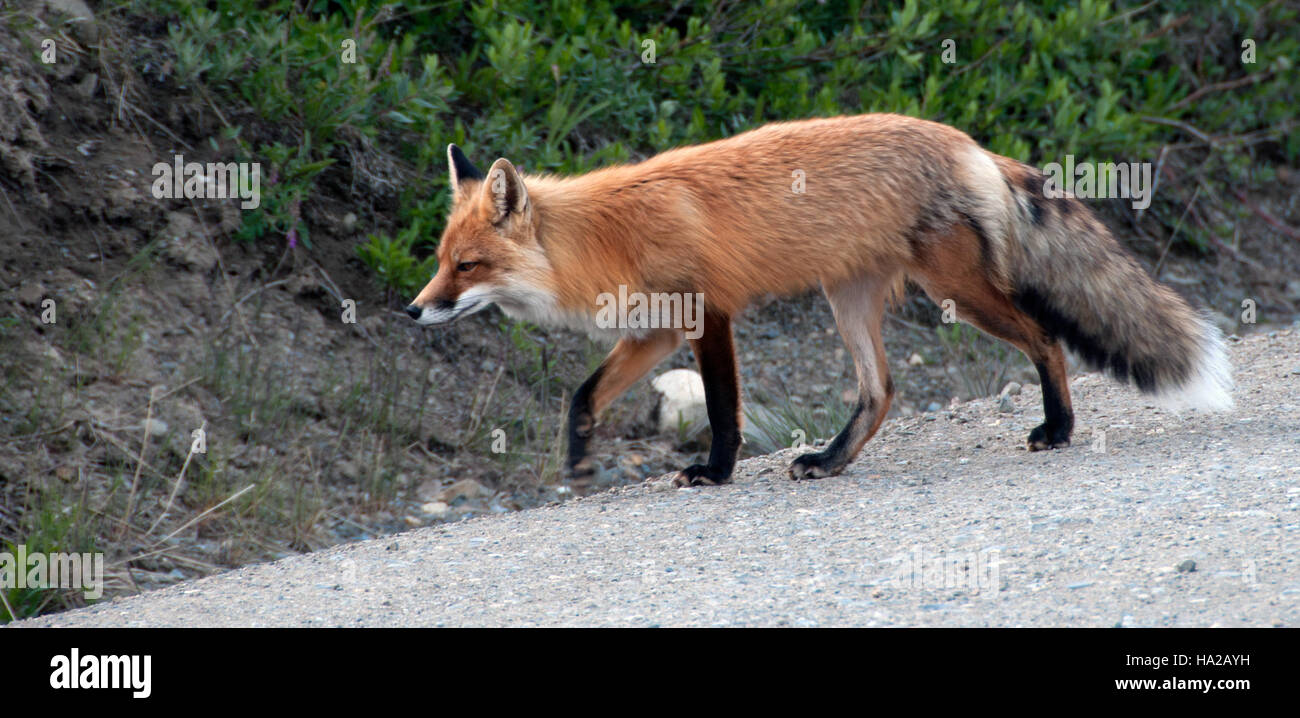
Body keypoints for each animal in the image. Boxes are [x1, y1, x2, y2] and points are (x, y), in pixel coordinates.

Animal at [406, 113, 1232, 487]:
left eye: (468, 266)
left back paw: (1058, 429)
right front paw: (578, 460)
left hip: (956, 292)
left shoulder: (707, 315)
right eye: (440, 263)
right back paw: (832, 460)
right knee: (881, 391)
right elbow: (582, 394)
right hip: (850, 300)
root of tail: (962, 139)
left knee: (1046, 339)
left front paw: (715, 473)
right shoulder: (654, 332)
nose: (412, 311)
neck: (606, 235)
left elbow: (724, 412)